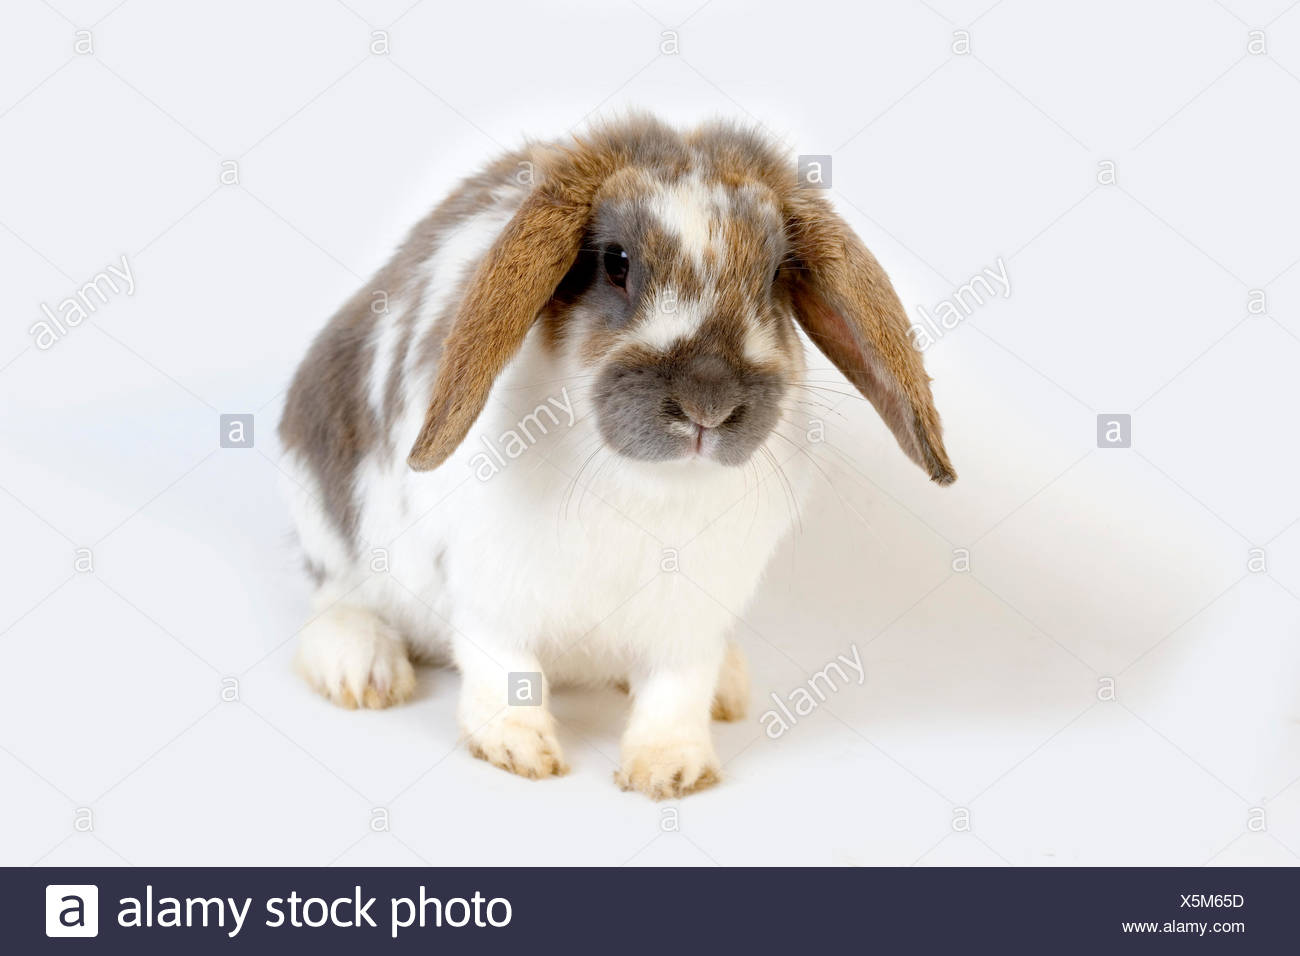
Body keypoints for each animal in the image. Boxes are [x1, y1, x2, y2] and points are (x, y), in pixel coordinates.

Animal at [277, 114, 954, 799]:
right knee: (335, 598)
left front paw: (668, 770)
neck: (654, 485)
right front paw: (519, 750)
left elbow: (677, 689)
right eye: (616, 262)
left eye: (773, 275)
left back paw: (729, 689)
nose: (708, 402)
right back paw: (362, 670)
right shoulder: (491, 596)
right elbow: (505, 668)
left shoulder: (693, 618)